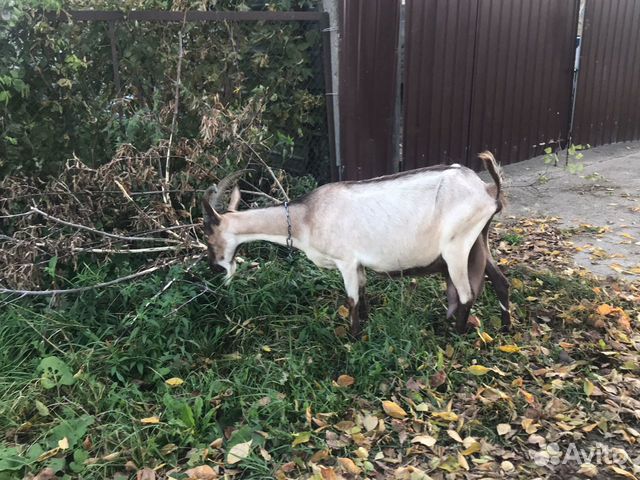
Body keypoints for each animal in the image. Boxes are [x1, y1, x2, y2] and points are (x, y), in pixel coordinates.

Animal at [202, 152, 510, 336]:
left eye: (207, 235)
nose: (215, 269)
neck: (304, 218)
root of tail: (487, 190)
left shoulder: (346, 261)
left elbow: (351, 299)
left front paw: (352, 338)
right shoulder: (358, 264)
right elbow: (362, 293)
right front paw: (366, 326)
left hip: (457, 246)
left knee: (466, 294)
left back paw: (454, 336)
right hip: (478, 240)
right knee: (500, 281)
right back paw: (506, 329)